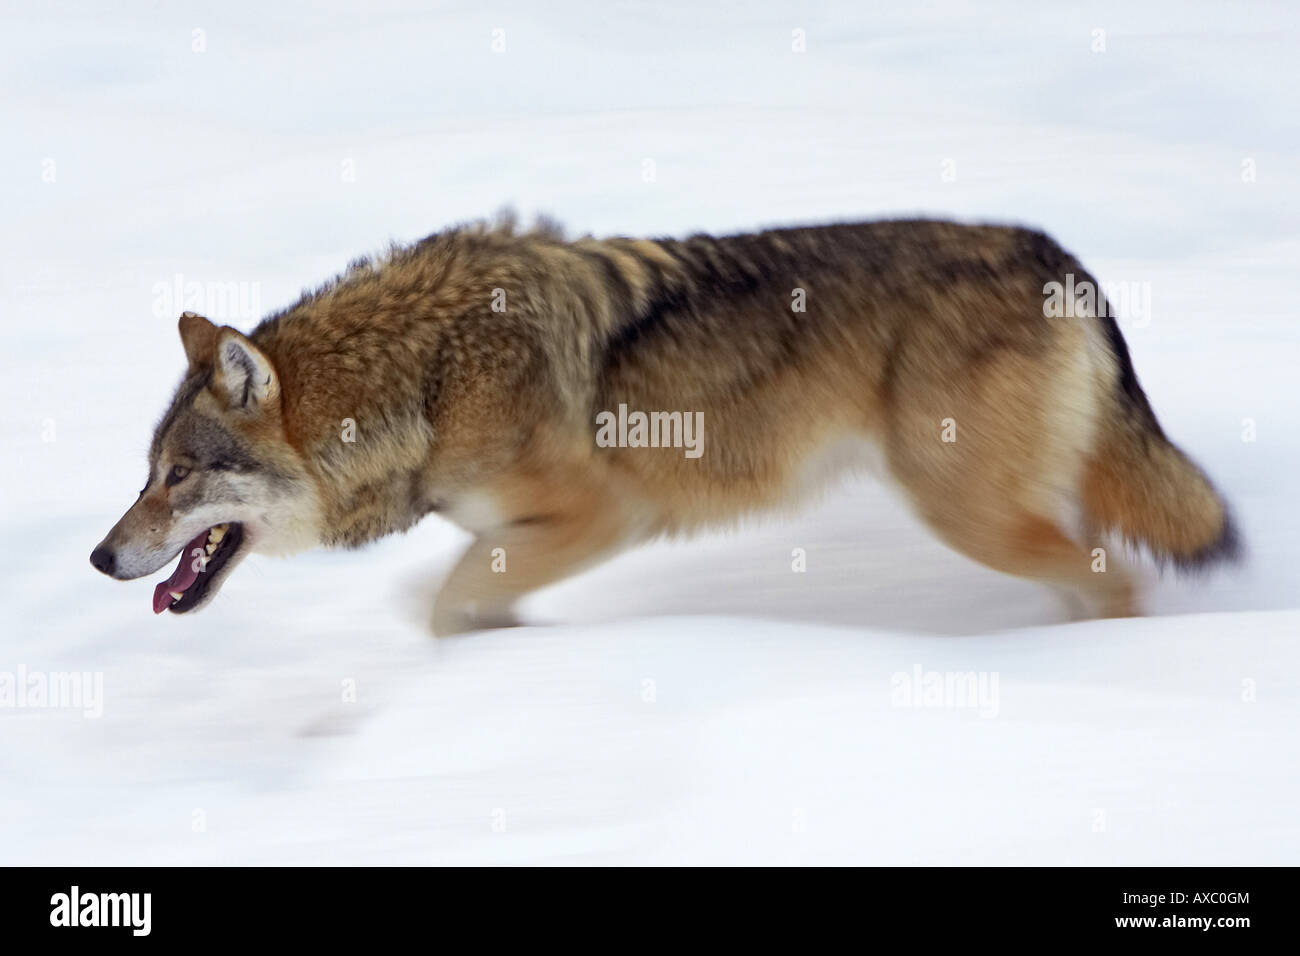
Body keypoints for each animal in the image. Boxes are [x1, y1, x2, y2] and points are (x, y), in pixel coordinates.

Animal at [90, 217, 1239, 633]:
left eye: (179, 475)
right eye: (146, 472)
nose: (100, 557)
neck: (427, 377)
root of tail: (1056, 255)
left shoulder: (607, 516)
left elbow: (448, 602)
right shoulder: (510, 534)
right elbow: (460, 595)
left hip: (964, 510)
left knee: (1113, 576)